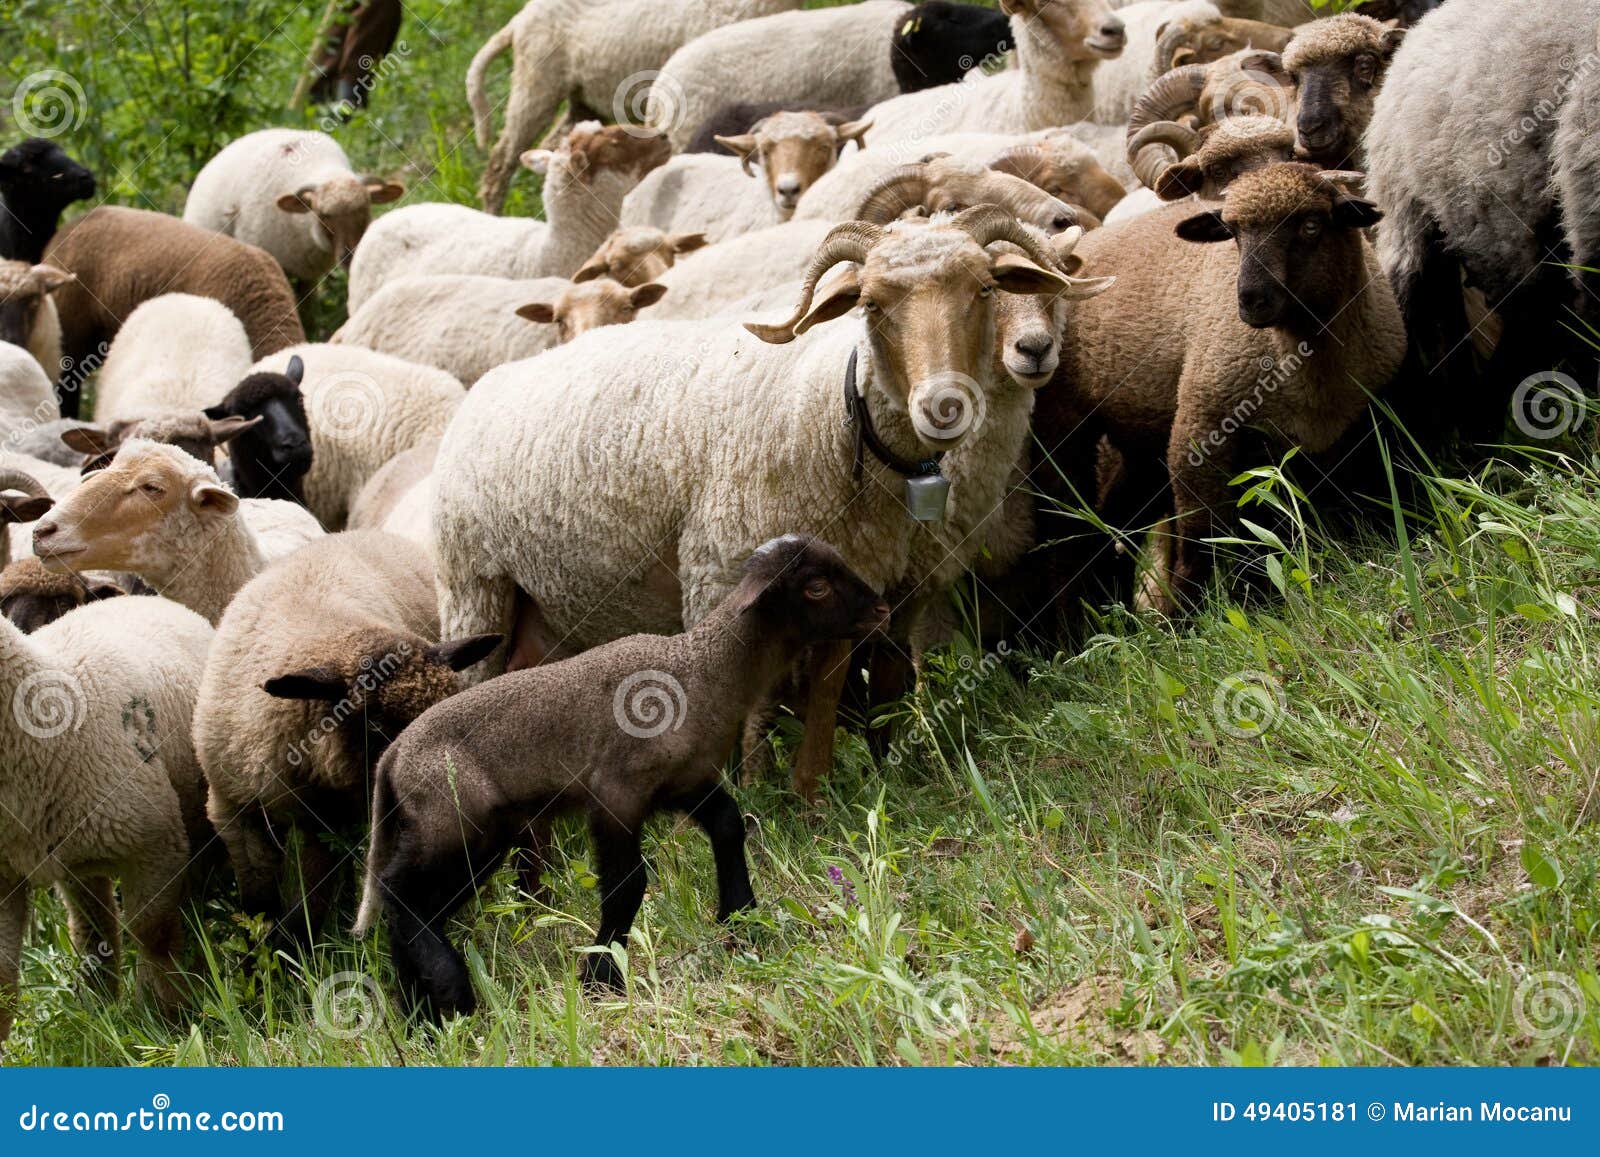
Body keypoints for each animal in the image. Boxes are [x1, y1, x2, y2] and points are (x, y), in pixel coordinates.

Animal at [0, 593, 213, 1044]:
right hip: (76, 860)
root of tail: (140, 596)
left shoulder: (157, 844)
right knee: (92, 924)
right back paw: (95, 999)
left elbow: (153, 931)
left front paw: (166, 1015)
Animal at [192, 530, 499, 940]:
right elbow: (261, 896)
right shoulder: (233, 810)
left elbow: (313, 895)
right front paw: (264, 949)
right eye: (375, 724)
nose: (460, 802)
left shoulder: (326, 825)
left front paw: (295, 944)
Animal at [359, 535, 888, 1013]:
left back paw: (421, 1012)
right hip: (450, 821)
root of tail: (394, 755)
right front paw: (601, 978)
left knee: (419, 904)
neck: (705, 671)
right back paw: (451, 992)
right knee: (398, 893)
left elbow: (729, 827)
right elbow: (627, 885)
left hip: (480, 834)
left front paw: (739, 917)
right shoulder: (617, 792)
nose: (882, 610)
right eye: (817, 586)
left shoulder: (686, 782)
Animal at [1029, 164, 1405, 616]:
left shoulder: (1348, 436)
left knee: (1112, 523)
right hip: (1062, 420)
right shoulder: (1203, 423)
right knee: (1065, 531)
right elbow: (1201, 534)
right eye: (1233, 232)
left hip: (1140, 437)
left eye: (1312, 225)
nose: (1250, 299)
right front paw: (1186, 615)